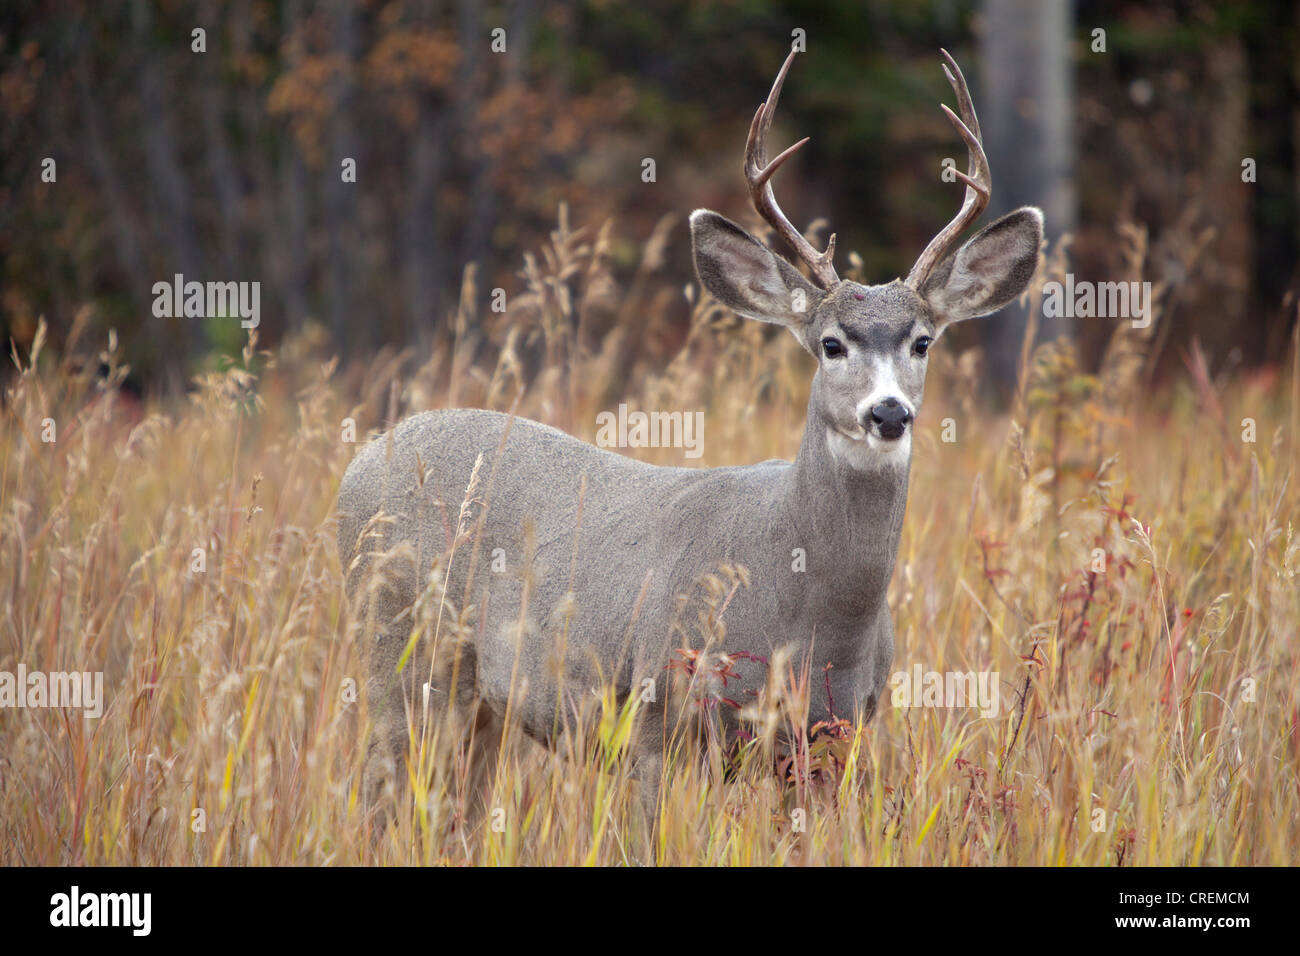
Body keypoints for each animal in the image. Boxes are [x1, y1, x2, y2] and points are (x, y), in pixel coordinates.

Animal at [337, 49, 1042, 826]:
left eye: (922, 342)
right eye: (831, 343)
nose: (888, 413)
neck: (806, 610)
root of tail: (364, 455)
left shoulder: (834, 735)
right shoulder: (655, 711)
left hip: (480, 700)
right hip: (396, 646)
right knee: (376, 790)